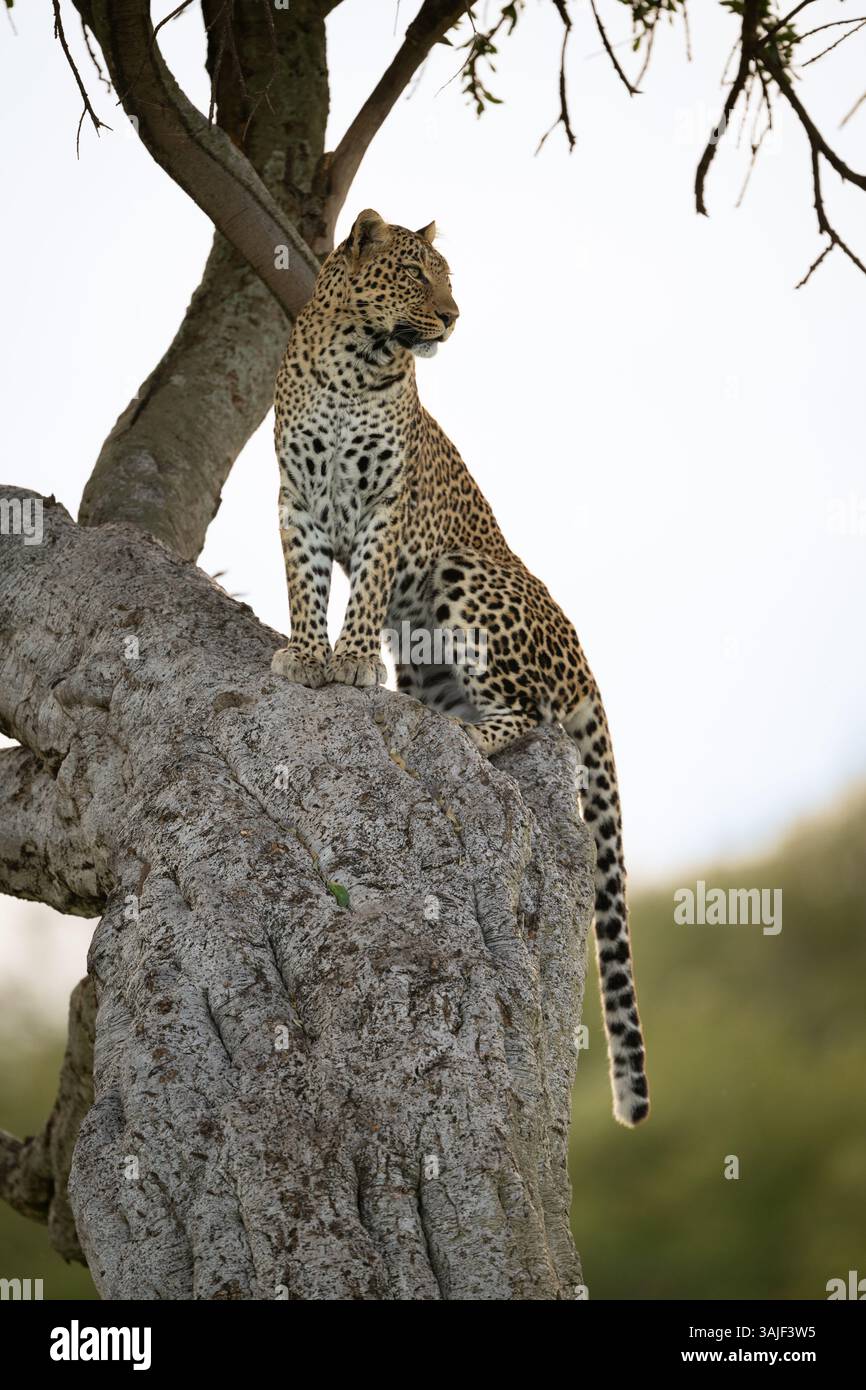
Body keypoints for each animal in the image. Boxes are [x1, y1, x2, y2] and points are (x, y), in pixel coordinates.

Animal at [271, 209, 649, 1126]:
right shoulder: (297, 501)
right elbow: (304, 584)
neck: (354, 365)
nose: (452, 317)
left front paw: (349, 662)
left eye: (448, 277)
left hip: (463, 575)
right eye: (417, 274)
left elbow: (367, 585)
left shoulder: (388, 509)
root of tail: (585, 660)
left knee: (533, 717)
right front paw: (306, 654)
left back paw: (461, 734)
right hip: (430, 643)